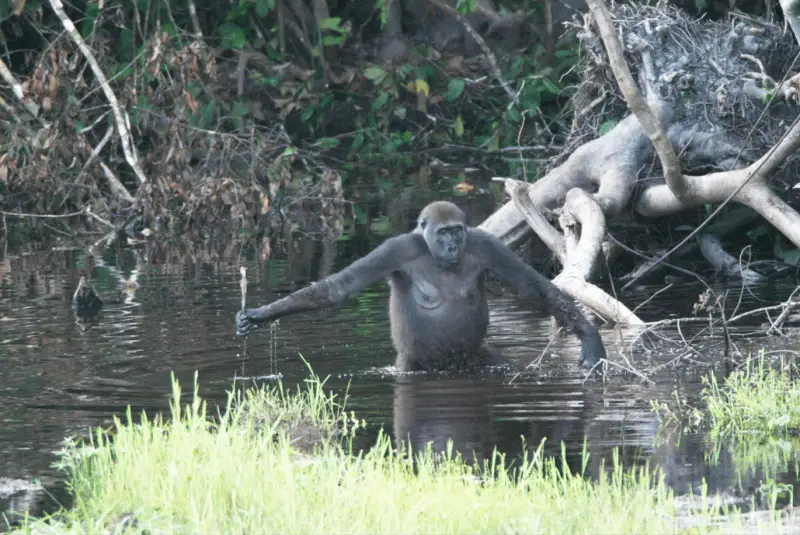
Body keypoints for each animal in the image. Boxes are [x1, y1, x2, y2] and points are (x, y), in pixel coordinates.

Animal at [235, 201, 606, 372]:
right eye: (443, 233)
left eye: (457, 231)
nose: (453, 245)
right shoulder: (395, 249)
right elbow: (339, 287)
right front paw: (261, 314)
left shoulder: (485, 243)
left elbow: (533, 287)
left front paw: (590, 339)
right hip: (410, 366)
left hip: (476, 360)